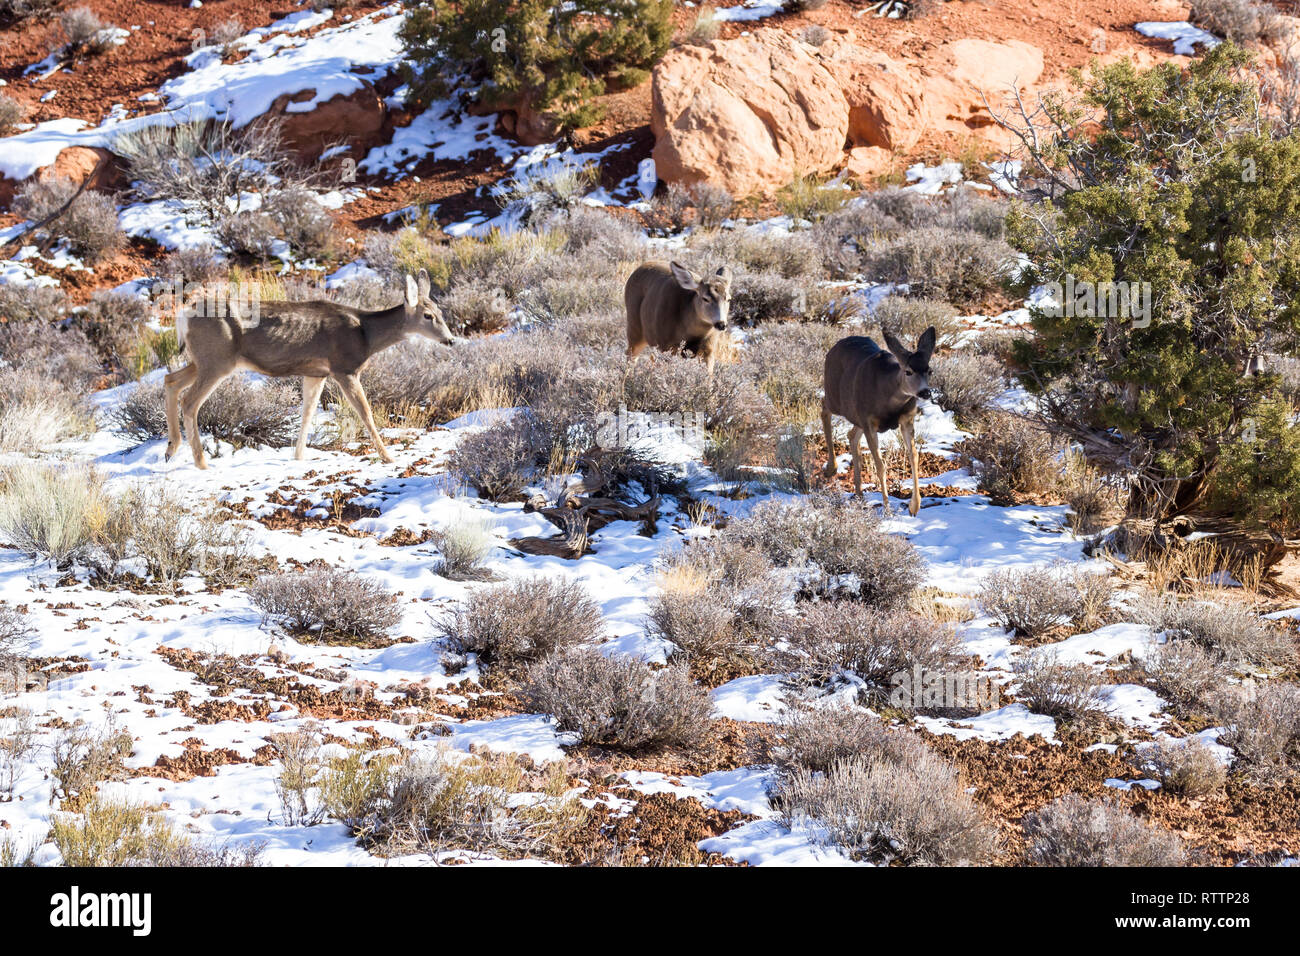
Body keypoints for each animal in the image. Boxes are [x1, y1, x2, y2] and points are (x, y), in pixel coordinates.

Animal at [164, 269, 456, 470]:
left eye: (442, 312)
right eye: (428, 316)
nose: (450, 340)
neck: (367, 335)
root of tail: (185, 313)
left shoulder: (316, 373)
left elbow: (307, 413)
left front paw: (299, 456)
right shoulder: (344, 368)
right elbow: (367, 414)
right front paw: (388, 457)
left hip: (204, 360)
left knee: (170, 380)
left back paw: (171, 449)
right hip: (217, 360)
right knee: (189, 401)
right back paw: (201, 463)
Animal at [821, 327, 936, 516]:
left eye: (929, 370)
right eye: (908, 371)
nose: (925, 392)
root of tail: (834, 347)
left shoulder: (907, 419)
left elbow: (914, 456)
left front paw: (914, 506)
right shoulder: (869, 422)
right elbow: (880, 465)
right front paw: (887, 509)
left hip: (856, 415)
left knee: (851, 435)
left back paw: (859, 493)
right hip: (835, 397)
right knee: (823, 408)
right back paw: (831, 468)